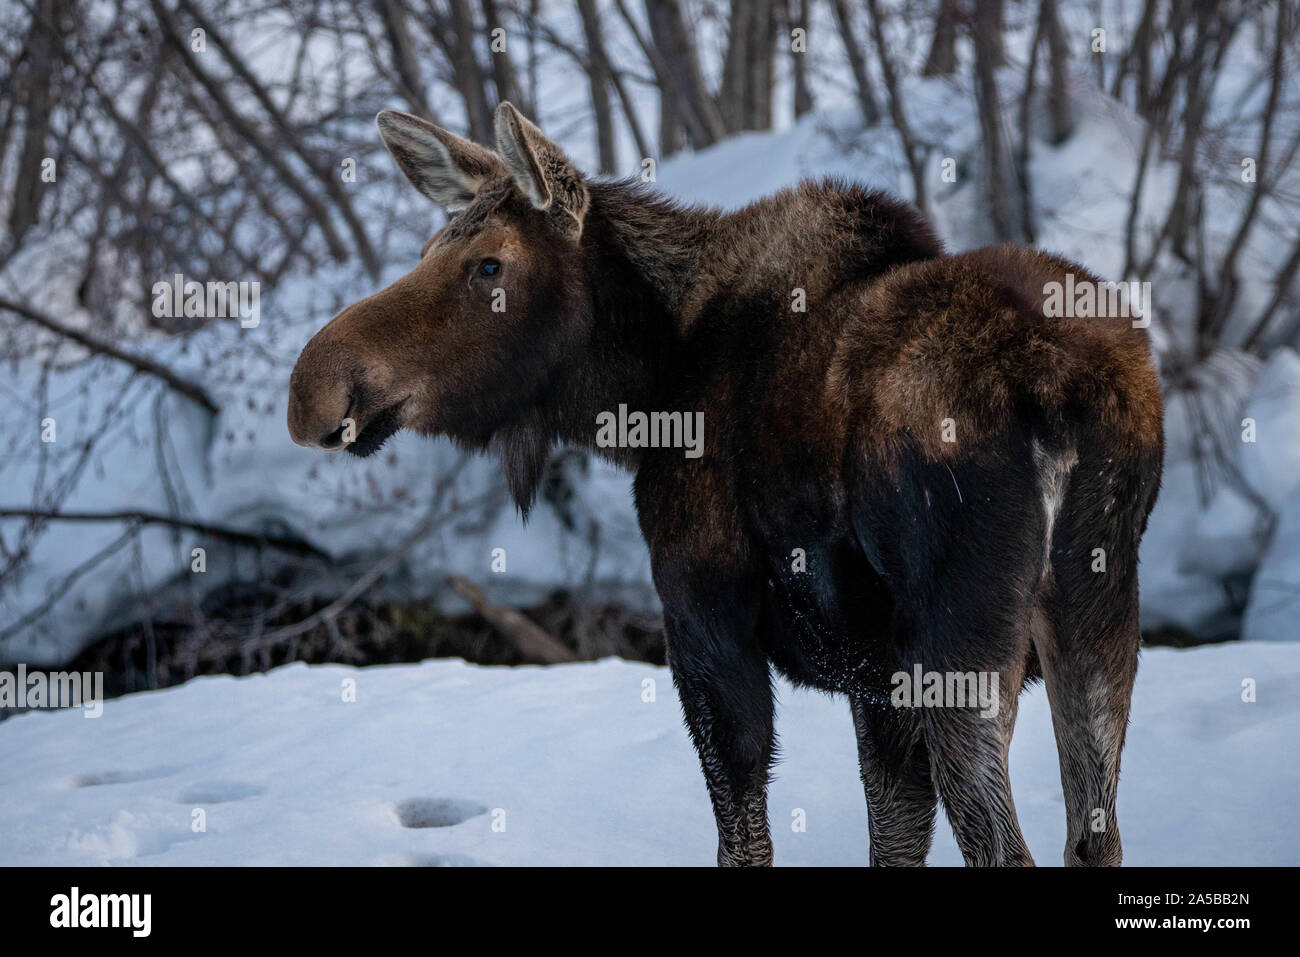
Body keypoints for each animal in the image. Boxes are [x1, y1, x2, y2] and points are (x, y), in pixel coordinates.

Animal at [287, 102, 1164, 867]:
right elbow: (891, 839)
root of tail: (1064, 392)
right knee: (1095, 838)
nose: (312, 387)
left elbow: (746, 839)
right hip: (1097, 613)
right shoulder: (875, 680)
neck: (648, 386)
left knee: (1008, 848)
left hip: (959, 641)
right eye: (430, 246)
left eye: (489, 263)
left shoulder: (705, 622)